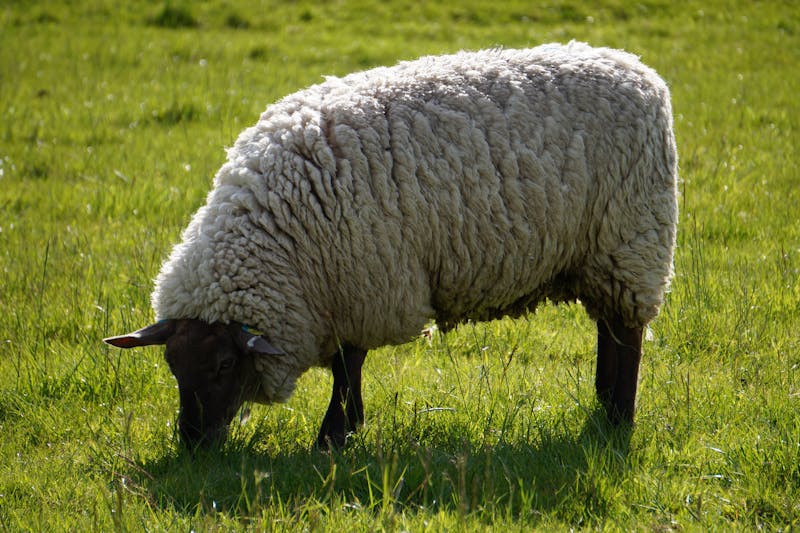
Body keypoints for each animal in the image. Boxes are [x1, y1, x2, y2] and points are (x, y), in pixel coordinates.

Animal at [104, 42, 678, 449]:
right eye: (172, 366)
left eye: (224, 366)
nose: (192, 446)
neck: (279, 234)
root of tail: (638, 70)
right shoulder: (342, 290)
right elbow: (346, 367)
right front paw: (344, 429)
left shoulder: (362, 285)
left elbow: (346, 366)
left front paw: (334, 436)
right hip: (602, 253)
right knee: (609, 332)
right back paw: (603, 409)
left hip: (630, 238)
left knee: (626, 338)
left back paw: (617, 421)